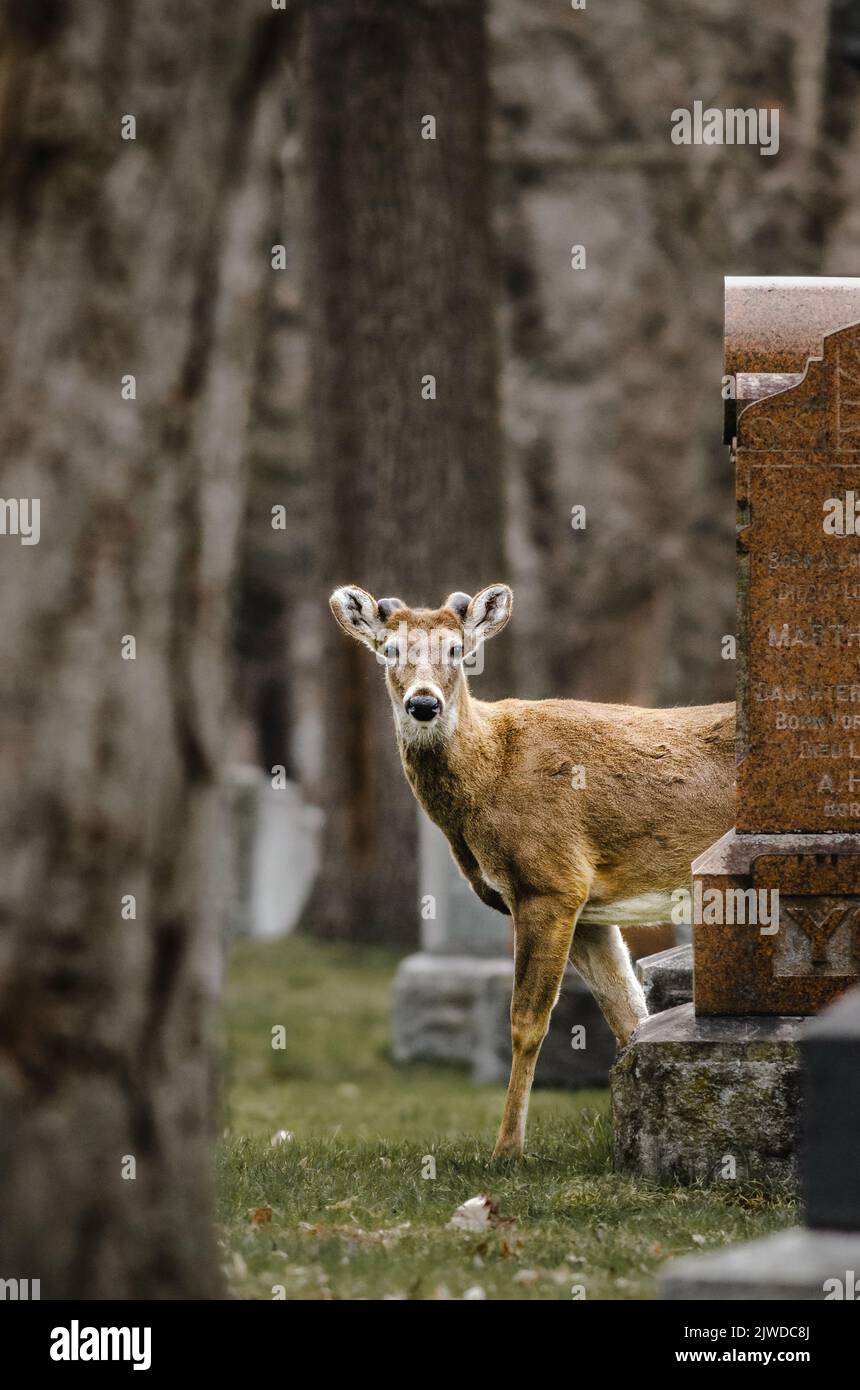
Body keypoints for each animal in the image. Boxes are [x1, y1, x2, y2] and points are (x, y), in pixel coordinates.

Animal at [329, 582, 735, 1160]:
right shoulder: (588, 905)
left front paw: (507, 1150)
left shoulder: (551, 879)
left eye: (458, 650)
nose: (424, 703)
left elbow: (526, 1023)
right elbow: (630, 1017)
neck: (491, 770)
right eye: (389, 650)